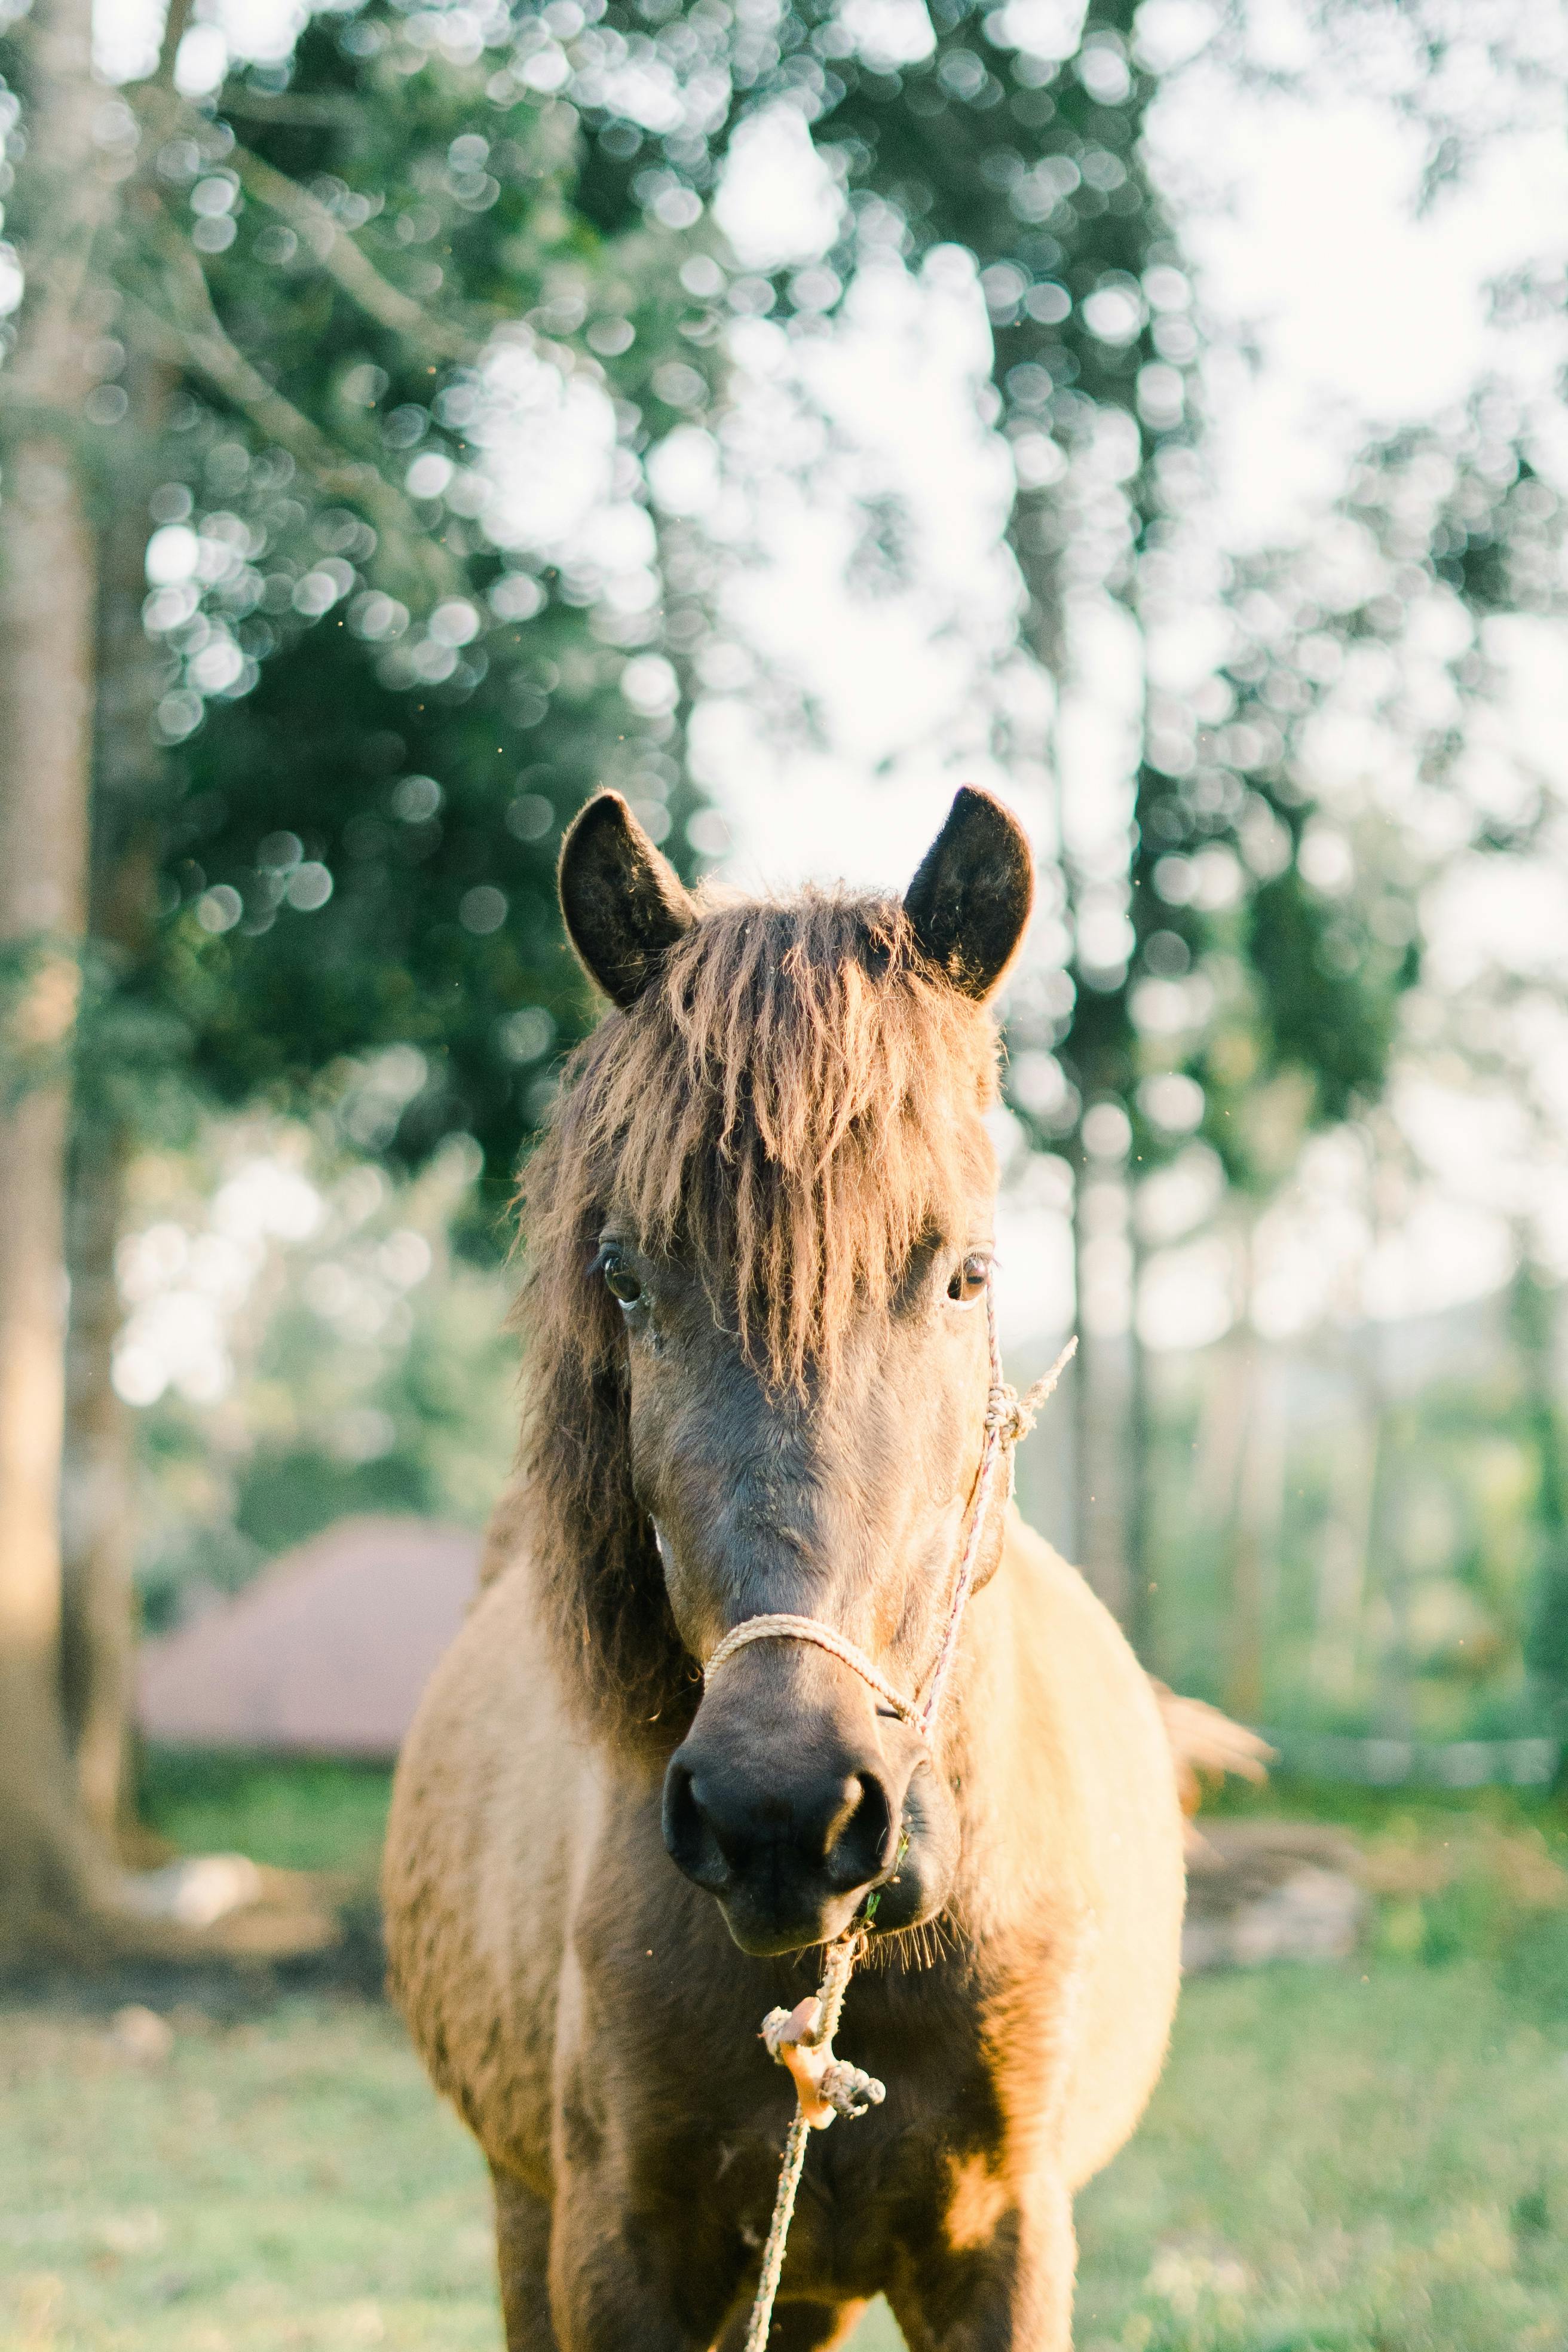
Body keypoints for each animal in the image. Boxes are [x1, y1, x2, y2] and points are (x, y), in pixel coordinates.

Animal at [383, 785, 1187, 2350]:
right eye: (626, 1278)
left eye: (968, 1275)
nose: (781, 1807)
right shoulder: (612, 2255)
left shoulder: (1003, 2248)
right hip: (527, 2217)